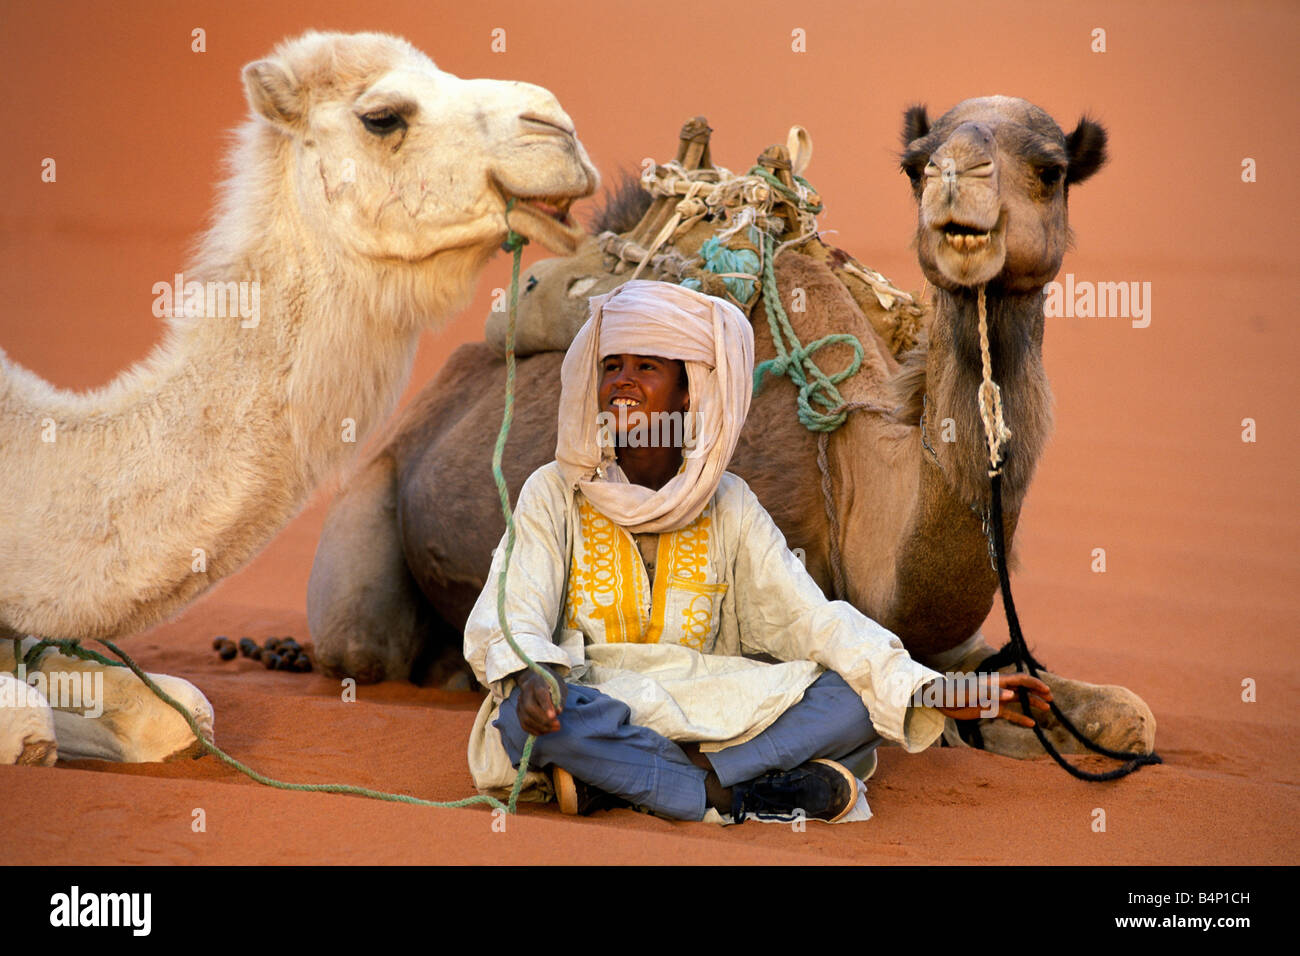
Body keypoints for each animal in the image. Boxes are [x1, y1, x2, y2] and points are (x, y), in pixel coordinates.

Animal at [306, 96, 1157, 761]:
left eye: (1052, 169)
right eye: (916, 165)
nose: (958, 195)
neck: (861, 476)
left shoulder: (939, 634)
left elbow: (1125, 715)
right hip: (376, 494)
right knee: (361, 644)